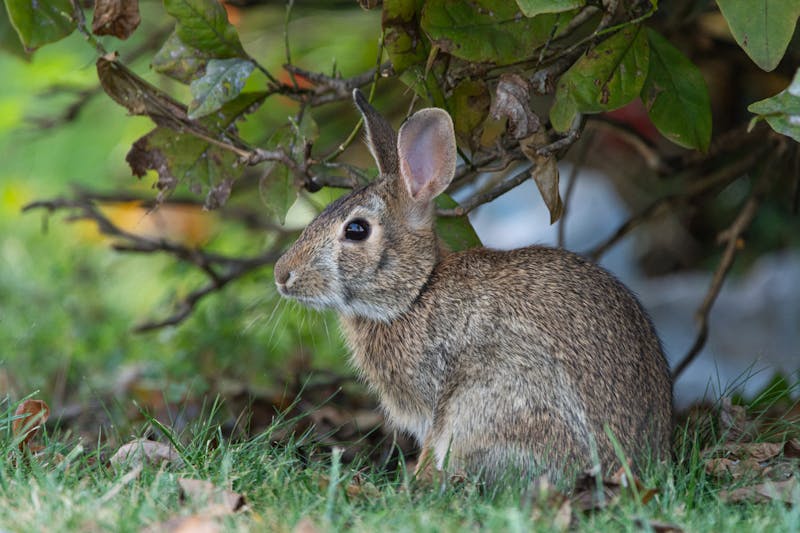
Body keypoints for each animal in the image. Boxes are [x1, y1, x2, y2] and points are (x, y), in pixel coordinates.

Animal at [274, 89, 673, 484]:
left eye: (356, 230)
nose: (282, 275)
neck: (416, 293)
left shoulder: (437, 399)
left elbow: (431, 440)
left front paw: (416, 478)